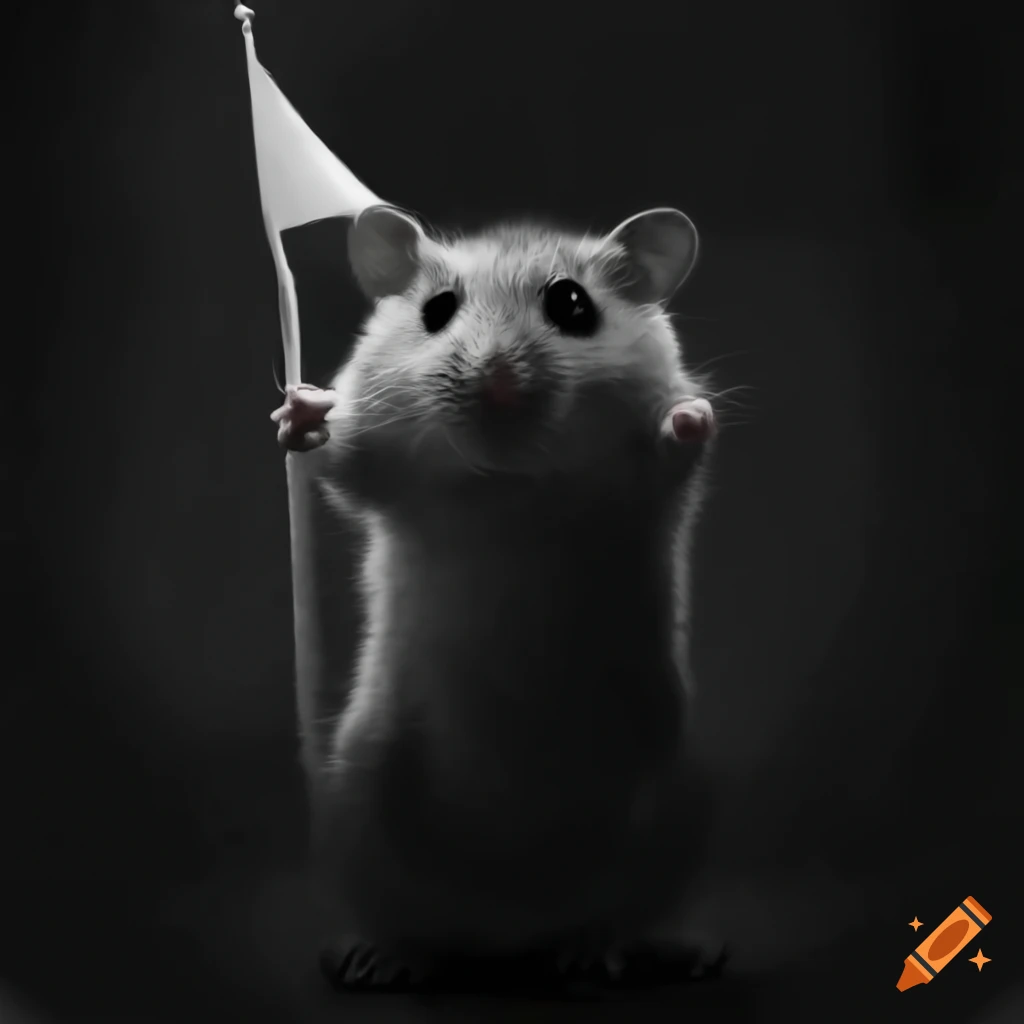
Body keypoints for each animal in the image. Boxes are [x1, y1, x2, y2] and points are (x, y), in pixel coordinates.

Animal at [271, 205, 723, 992]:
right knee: (412, 915)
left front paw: (690, 417)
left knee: (626, 907)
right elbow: (344, 463)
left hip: (672, 792)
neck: (507, 484)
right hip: (360, 789)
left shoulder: (647, 491)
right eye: (436, 310)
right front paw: (302, 414)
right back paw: (384, 956)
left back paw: (612, 947)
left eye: (572, 305)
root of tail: (511, 930)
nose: (499, 385)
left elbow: (672, 455)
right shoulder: (387, 473)